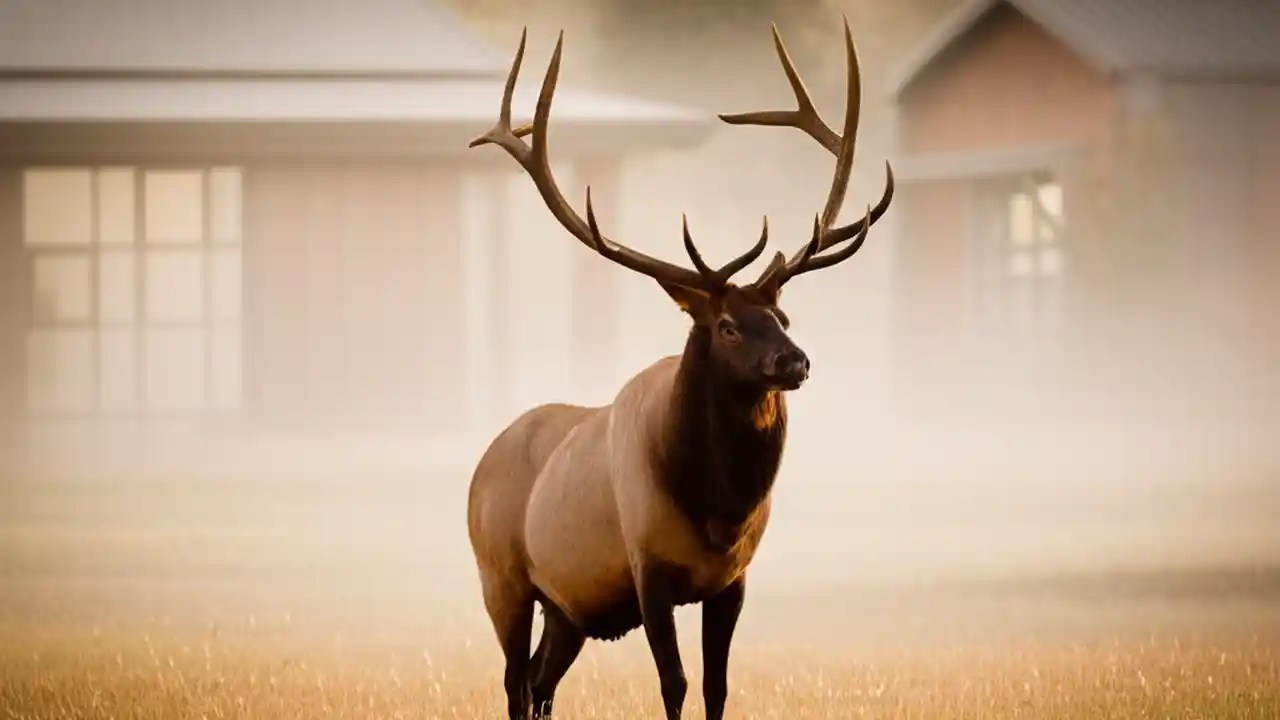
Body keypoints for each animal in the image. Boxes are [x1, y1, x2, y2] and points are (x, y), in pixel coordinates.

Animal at [466, 19, 893, 720]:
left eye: (784, 314)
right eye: (725, 326)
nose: (795, 361)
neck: (717, 511)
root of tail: (481, 461)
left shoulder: (733, 580)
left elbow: (718, 686)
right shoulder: (649, 572)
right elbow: (675, 684)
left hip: (568, 609)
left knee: (540, 682)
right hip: (500, 576)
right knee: (512, 682)